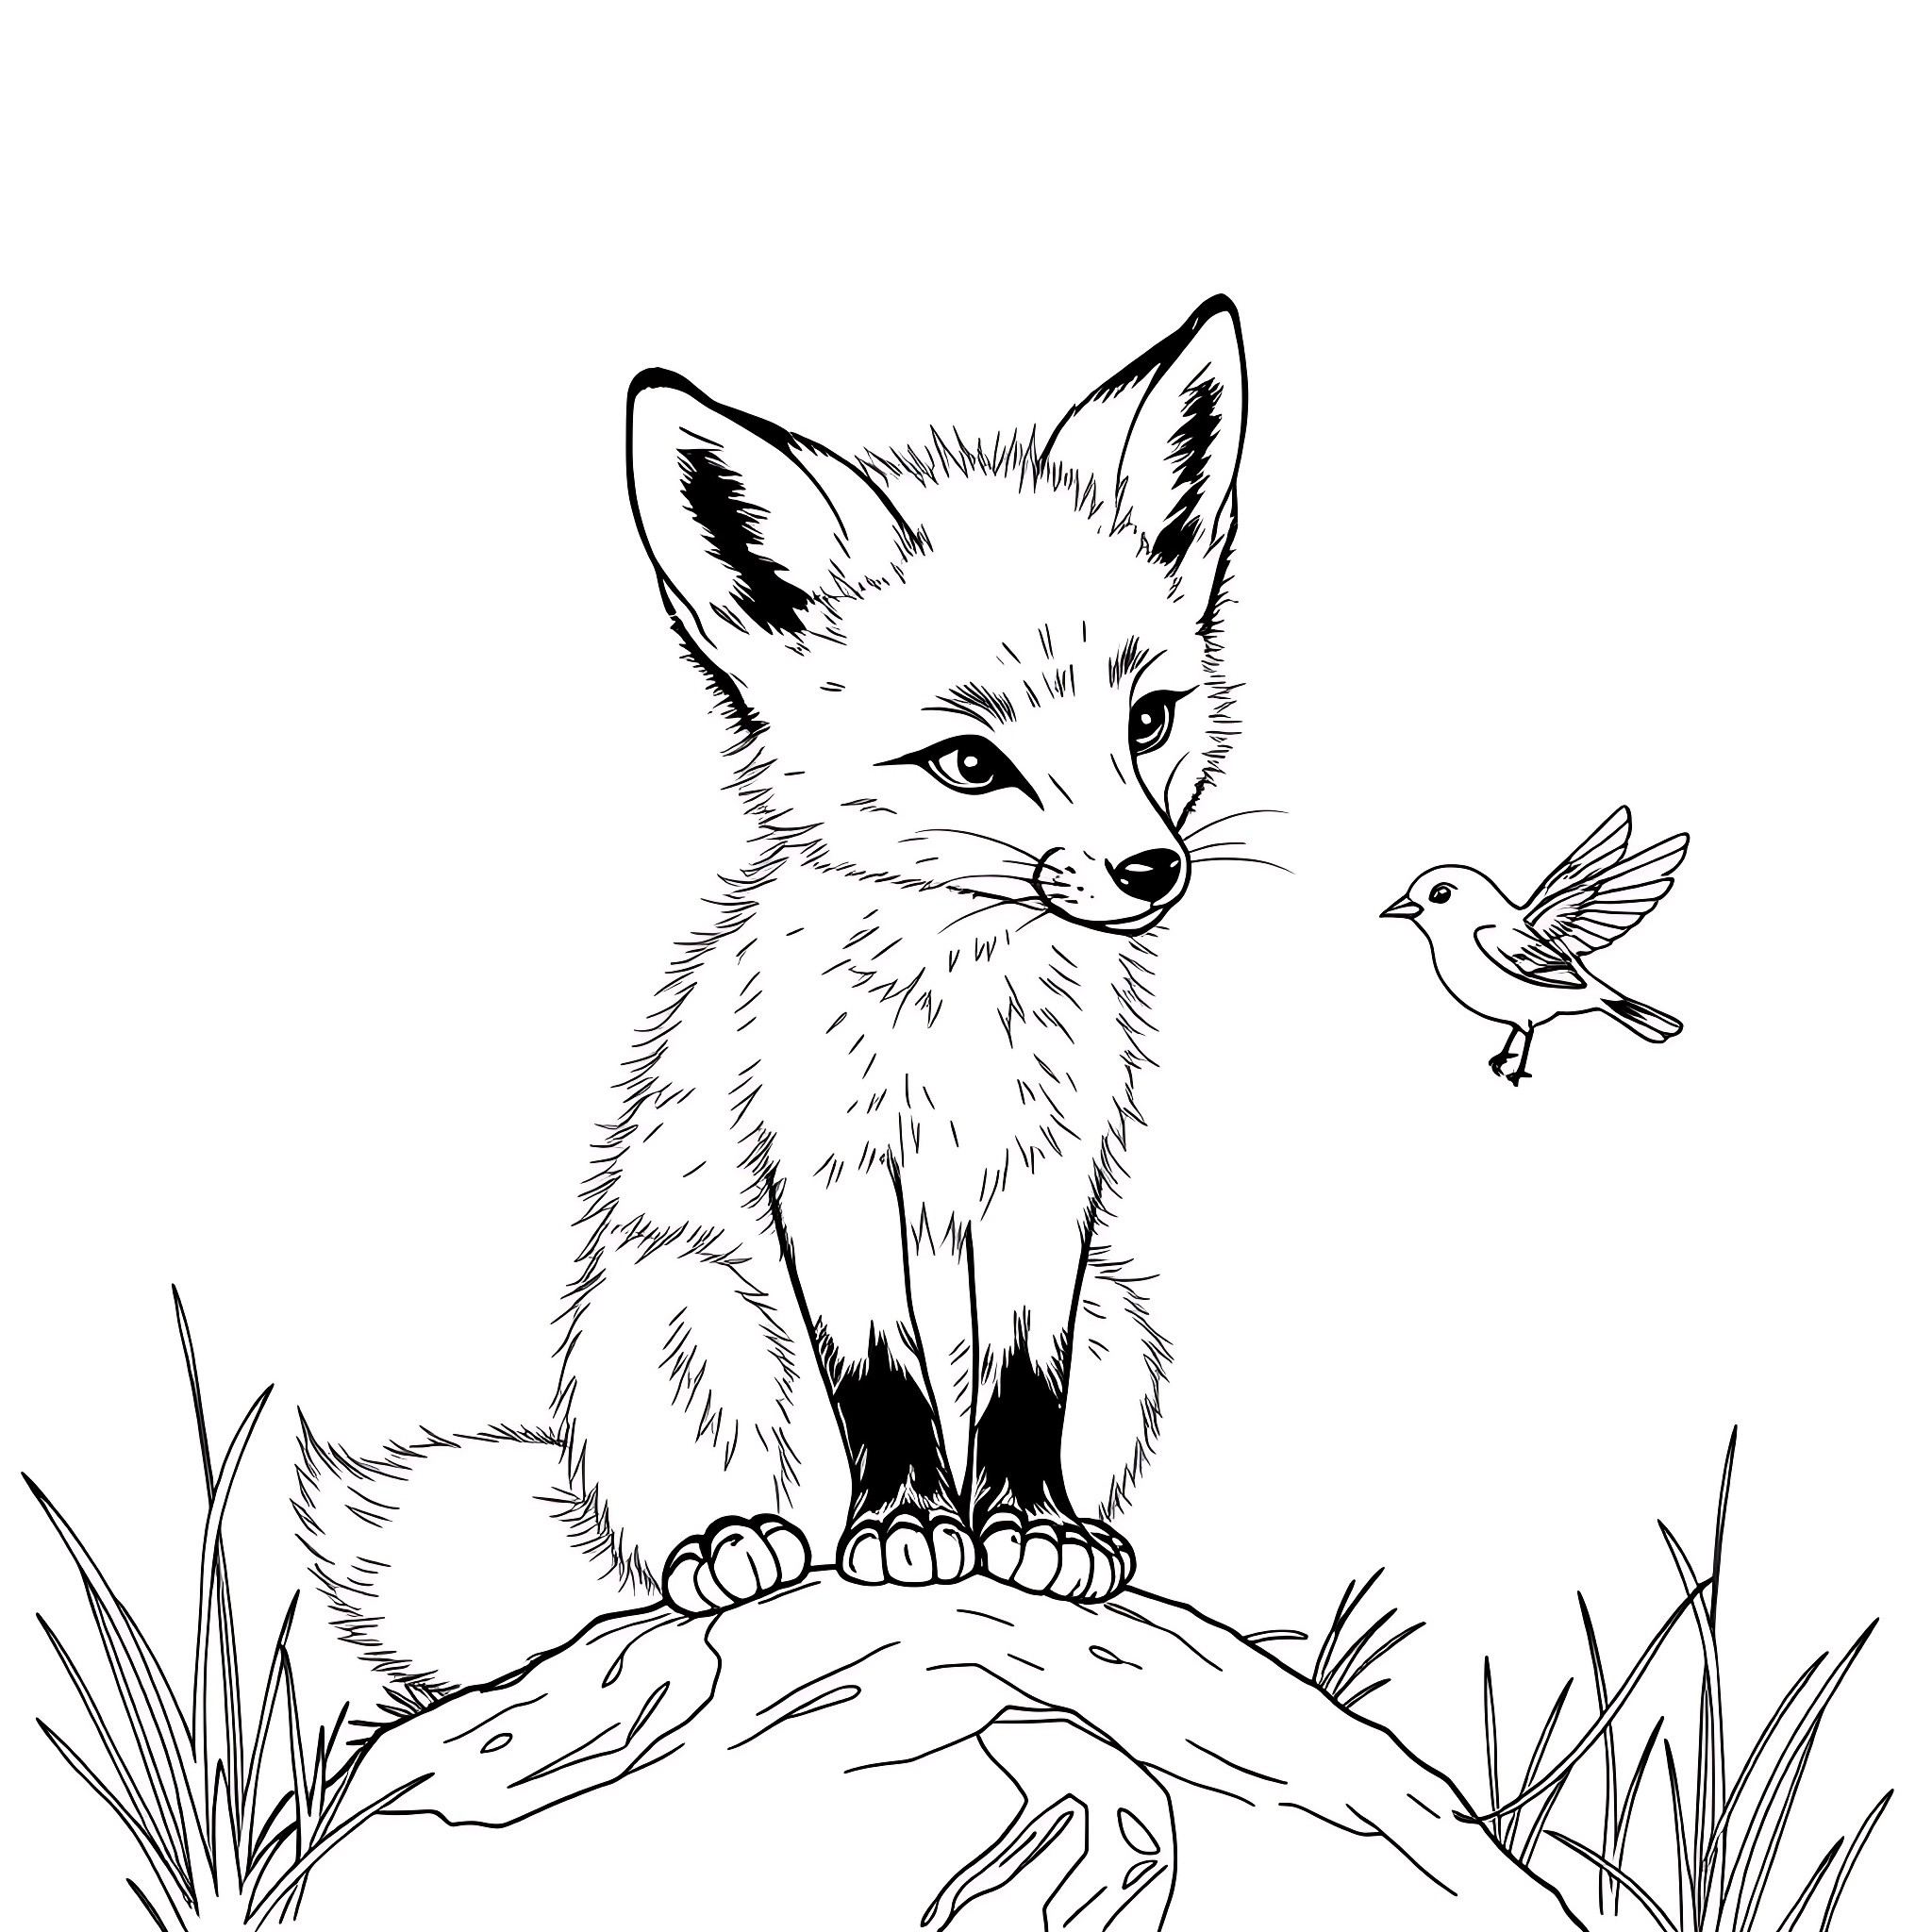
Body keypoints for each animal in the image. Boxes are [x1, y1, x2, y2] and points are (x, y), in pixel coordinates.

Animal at [298, 296, 1251, 1701]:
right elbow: (882, 1375)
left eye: (1149, 719)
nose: (1151, 871)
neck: (960, 1013)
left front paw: (1026, 1527)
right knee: (684, 1531)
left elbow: (1021, 1385)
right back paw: (742, 1543)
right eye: (971, 762)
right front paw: (908, 1522)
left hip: (1123, 1325)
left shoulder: (1048, 1175)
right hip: (683, 1312)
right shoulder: (826, 1159)